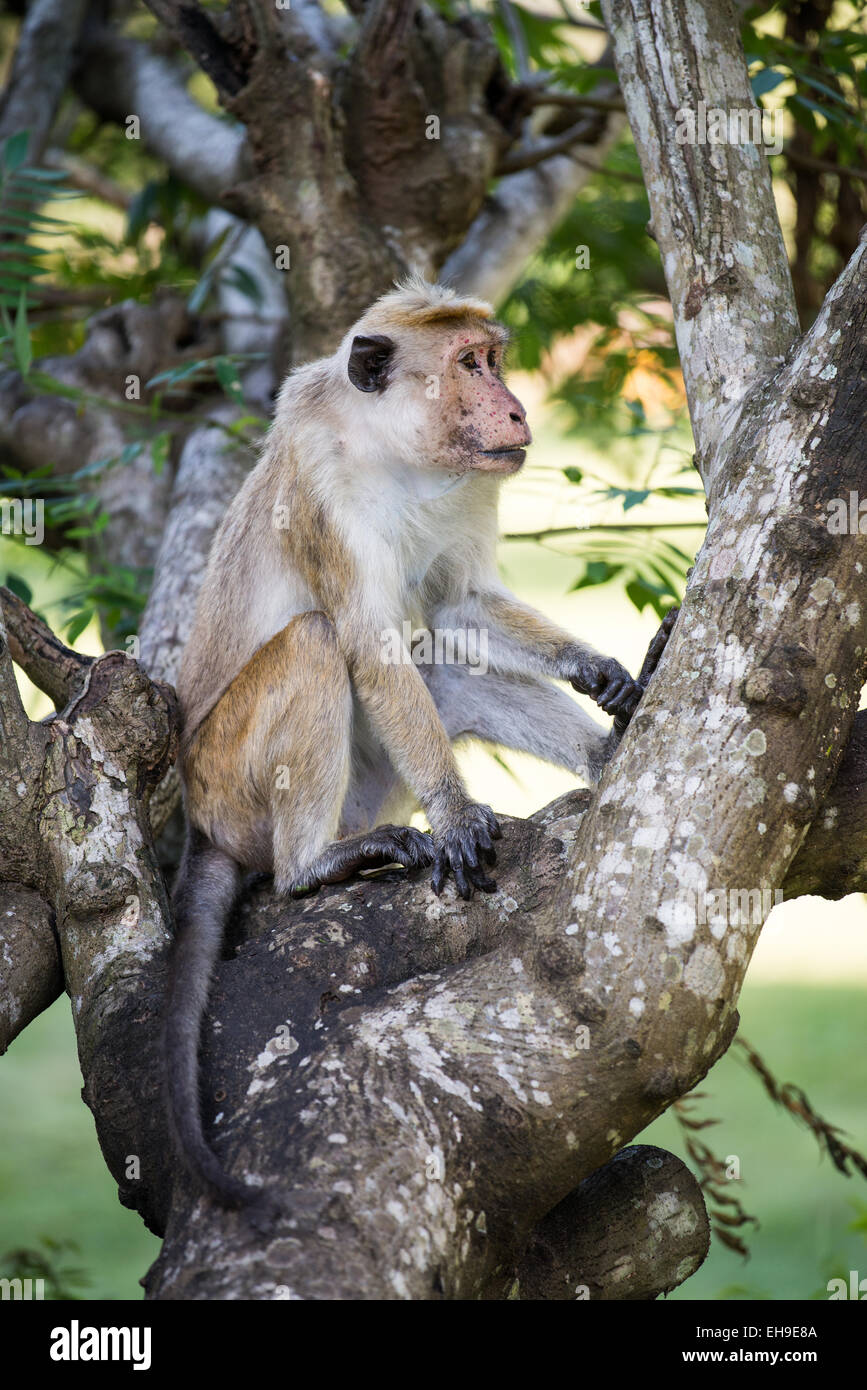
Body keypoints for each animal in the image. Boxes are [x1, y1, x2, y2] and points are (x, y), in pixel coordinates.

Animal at [165, 274, 657, 1209]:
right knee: (317, 641)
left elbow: (458, 606)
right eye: (469, 364)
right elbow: (366, 642)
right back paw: (311, 867)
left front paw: (598, 667)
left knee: (444, 678)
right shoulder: (322, 487)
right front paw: (456, 813)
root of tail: (200, 822)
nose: (514, 408)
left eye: (492, 357)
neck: (396, 457)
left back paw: (609, 761)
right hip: (228, 780)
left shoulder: (471, 486)